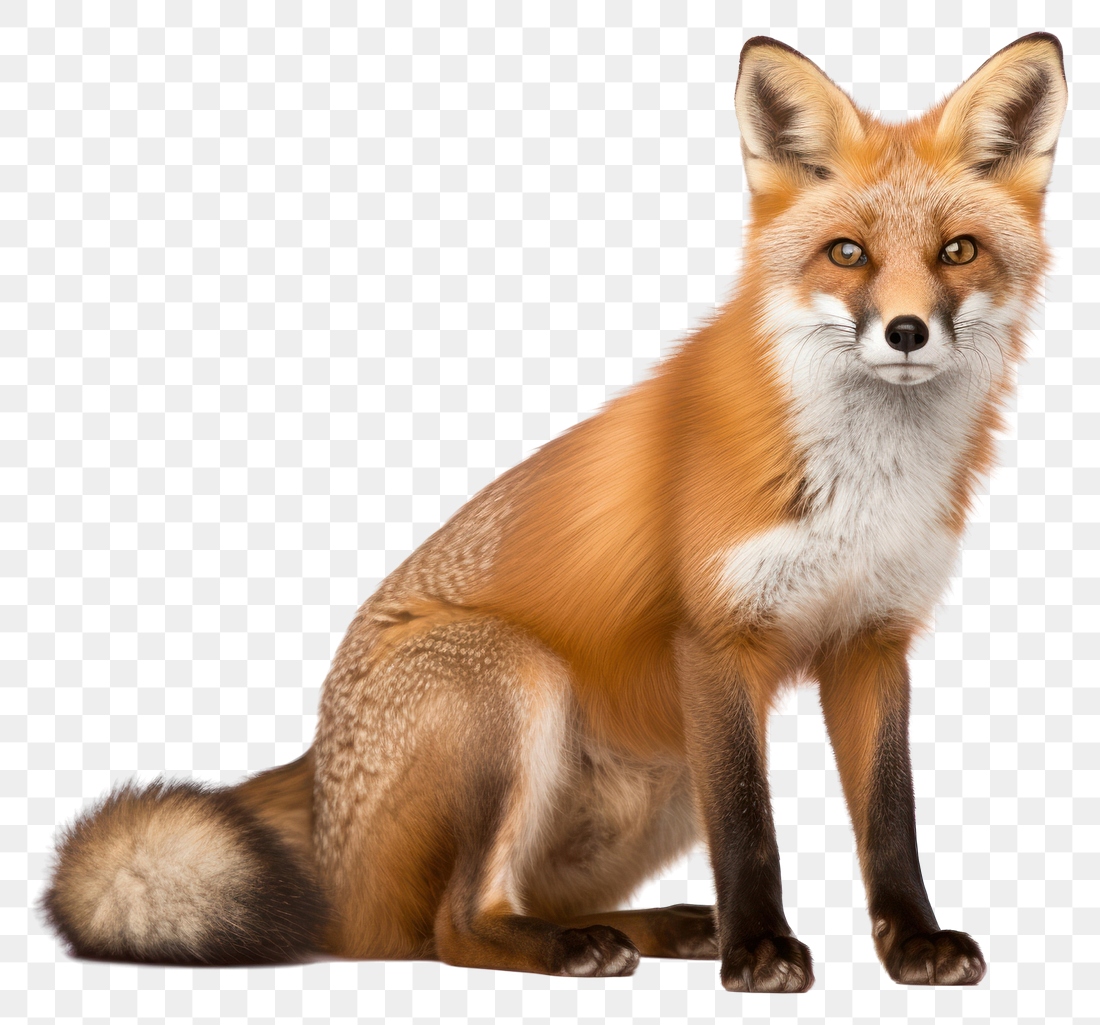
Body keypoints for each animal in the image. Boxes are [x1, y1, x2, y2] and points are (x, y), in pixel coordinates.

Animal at [42, 34, 1067, 991]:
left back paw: (662, 927)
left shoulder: (872, 640)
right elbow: (752, 826)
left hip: (661, 776)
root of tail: (318, 783)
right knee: (452, 927)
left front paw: (913, 943)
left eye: (958, 251)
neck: (864, 485)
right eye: (847, 253)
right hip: (517, 678)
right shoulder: (716, 641)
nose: (906, 332)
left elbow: (892, 821)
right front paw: (762, 950)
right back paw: (578, 946)